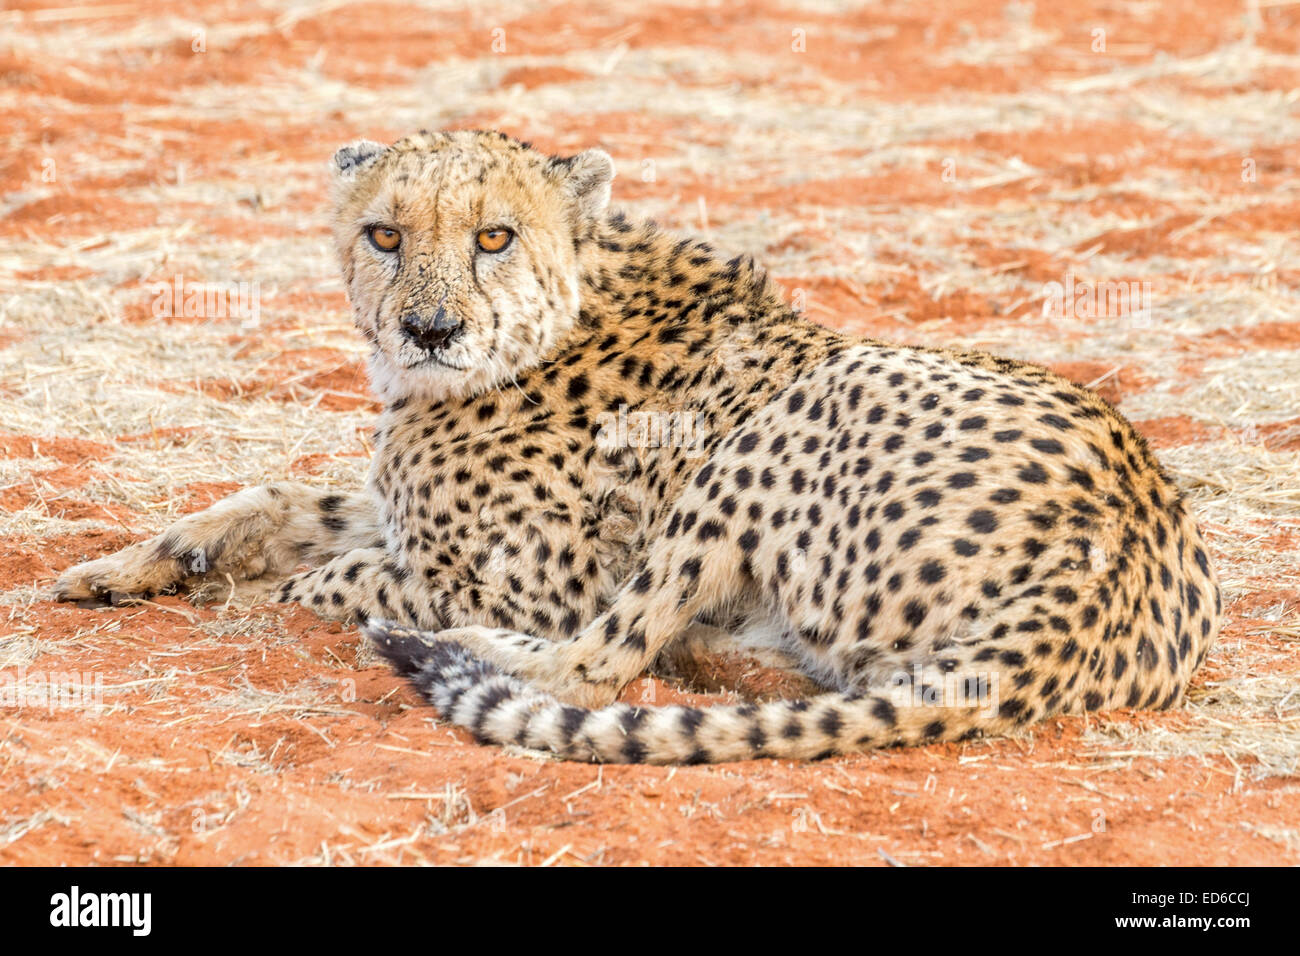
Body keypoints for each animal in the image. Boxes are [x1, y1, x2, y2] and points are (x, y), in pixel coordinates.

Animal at [54, 128, 1221, 764]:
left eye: (493, 235)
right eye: (384, 234)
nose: (429, 328)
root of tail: (1120, 553)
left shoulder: (540, 578)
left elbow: (346, 577)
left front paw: (293, 587)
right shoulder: (395, 508)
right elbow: (272, 499)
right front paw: (133, 562)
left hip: (792, 413)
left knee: (594, 661)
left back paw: (472, 647)